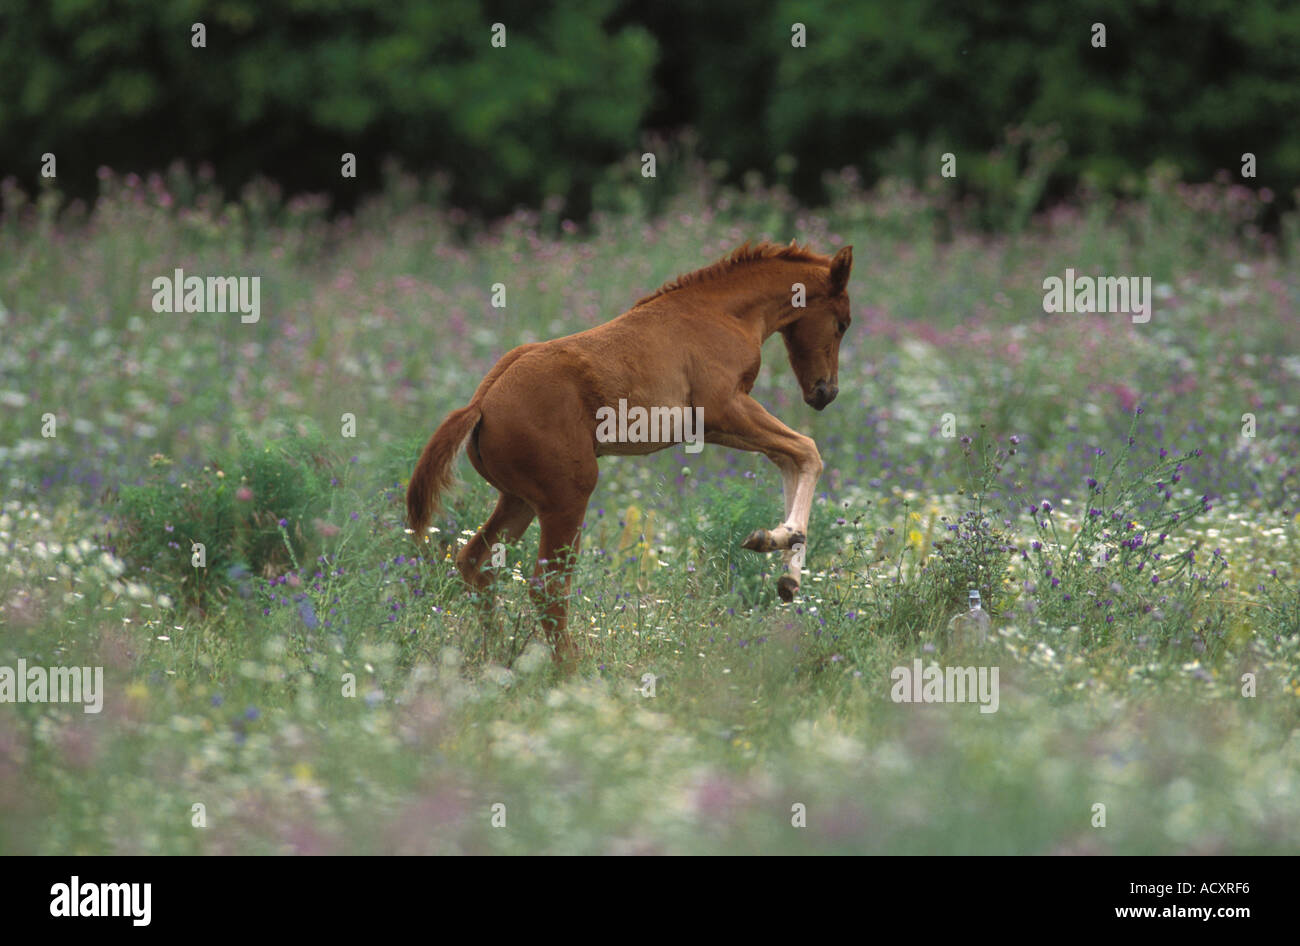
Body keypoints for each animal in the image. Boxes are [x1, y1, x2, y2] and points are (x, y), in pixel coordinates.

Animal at [407, 240, 853, 666]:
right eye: (842, 323)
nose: (825, 392)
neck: (721, 312)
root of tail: (481, 403)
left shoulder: (715, 427)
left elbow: (789, 459)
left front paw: (785, 567)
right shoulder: (725, 408)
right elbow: (808, 451)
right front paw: (783, 542)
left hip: (519, 499)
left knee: (475, 563)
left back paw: (498, 656)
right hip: (567, 497)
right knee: (547, 586)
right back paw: (570, 670)